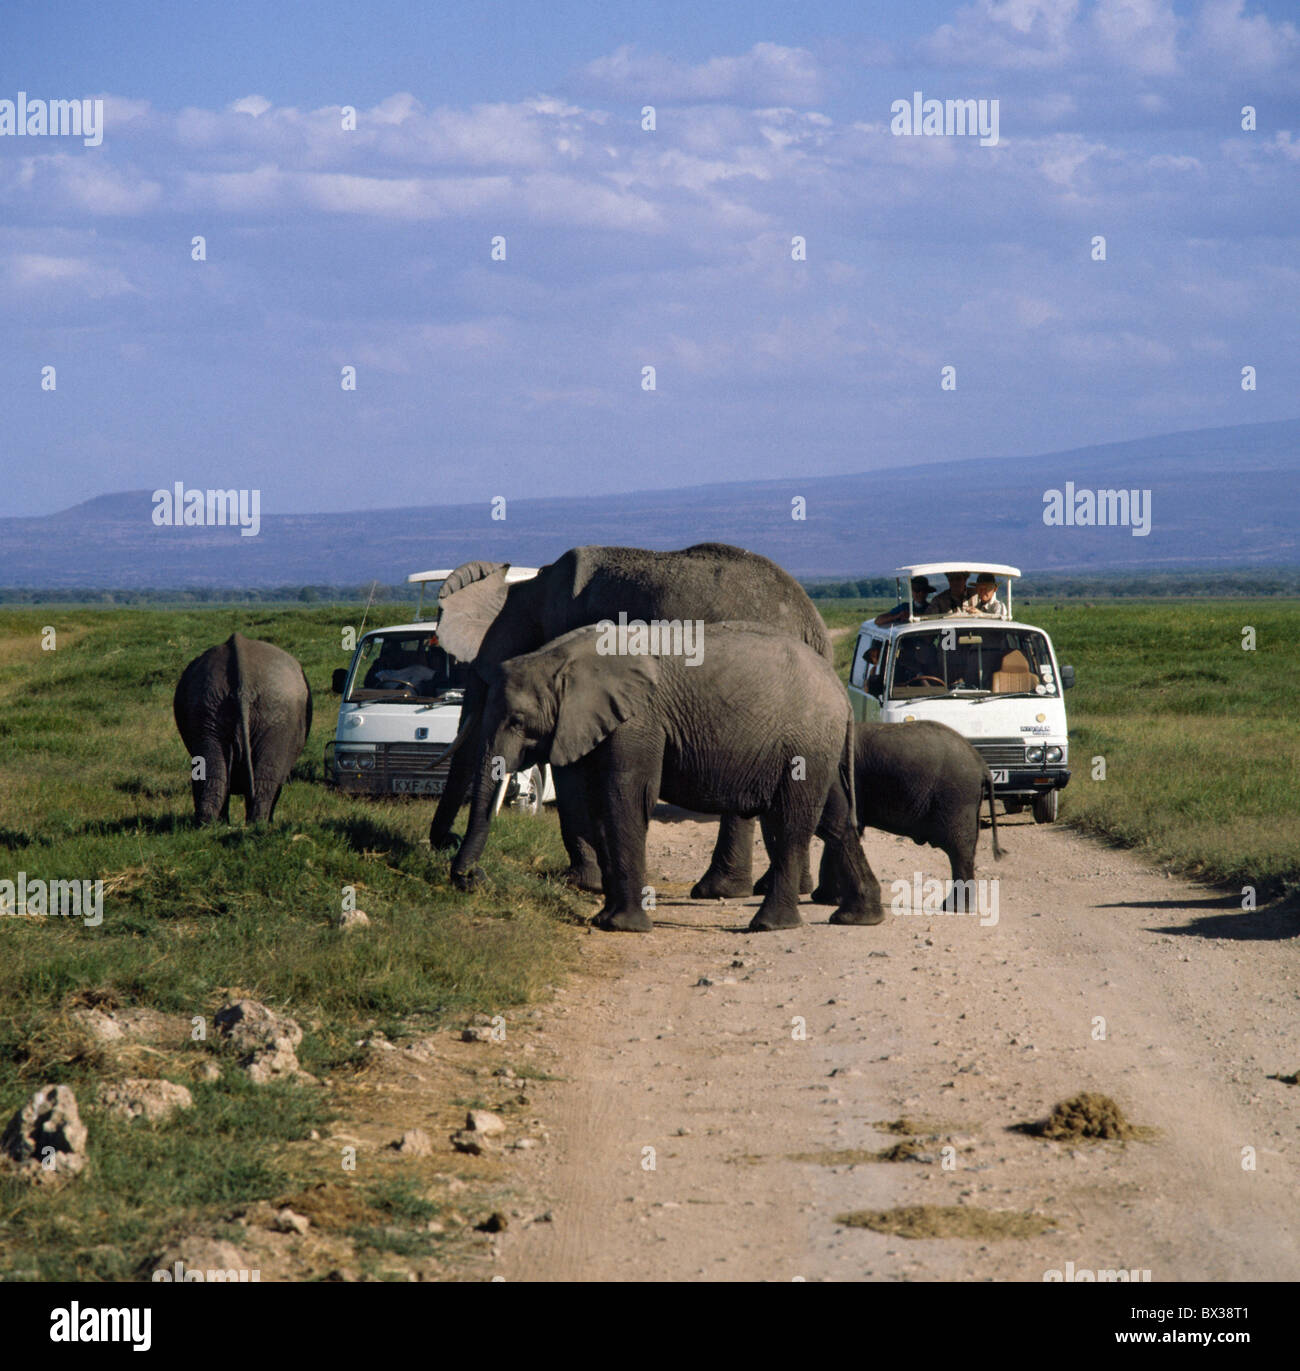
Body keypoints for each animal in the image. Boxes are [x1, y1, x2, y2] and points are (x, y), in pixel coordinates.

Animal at [429, 544, 833, 899]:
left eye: (483, 669)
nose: (468, 869)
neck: (530, 588)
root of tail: (813, 623)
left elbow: (571, 771)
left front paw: (580, 882)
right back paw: (785, 889)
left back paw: (718, 890)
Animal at [452, 621, 884, 933]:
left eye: (517, 720)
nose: (474, 877)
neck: (560, 657)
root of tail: (841, 692)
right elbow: (597, 806)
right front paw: (604, 921)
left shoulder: (637, 721)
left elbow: (625, 798)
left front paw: (624, 928)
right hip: (817, 743)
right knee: (835, 820)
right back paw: (859, 918)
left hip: (804, 742)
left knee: (794, 821)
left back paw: (769, 925)